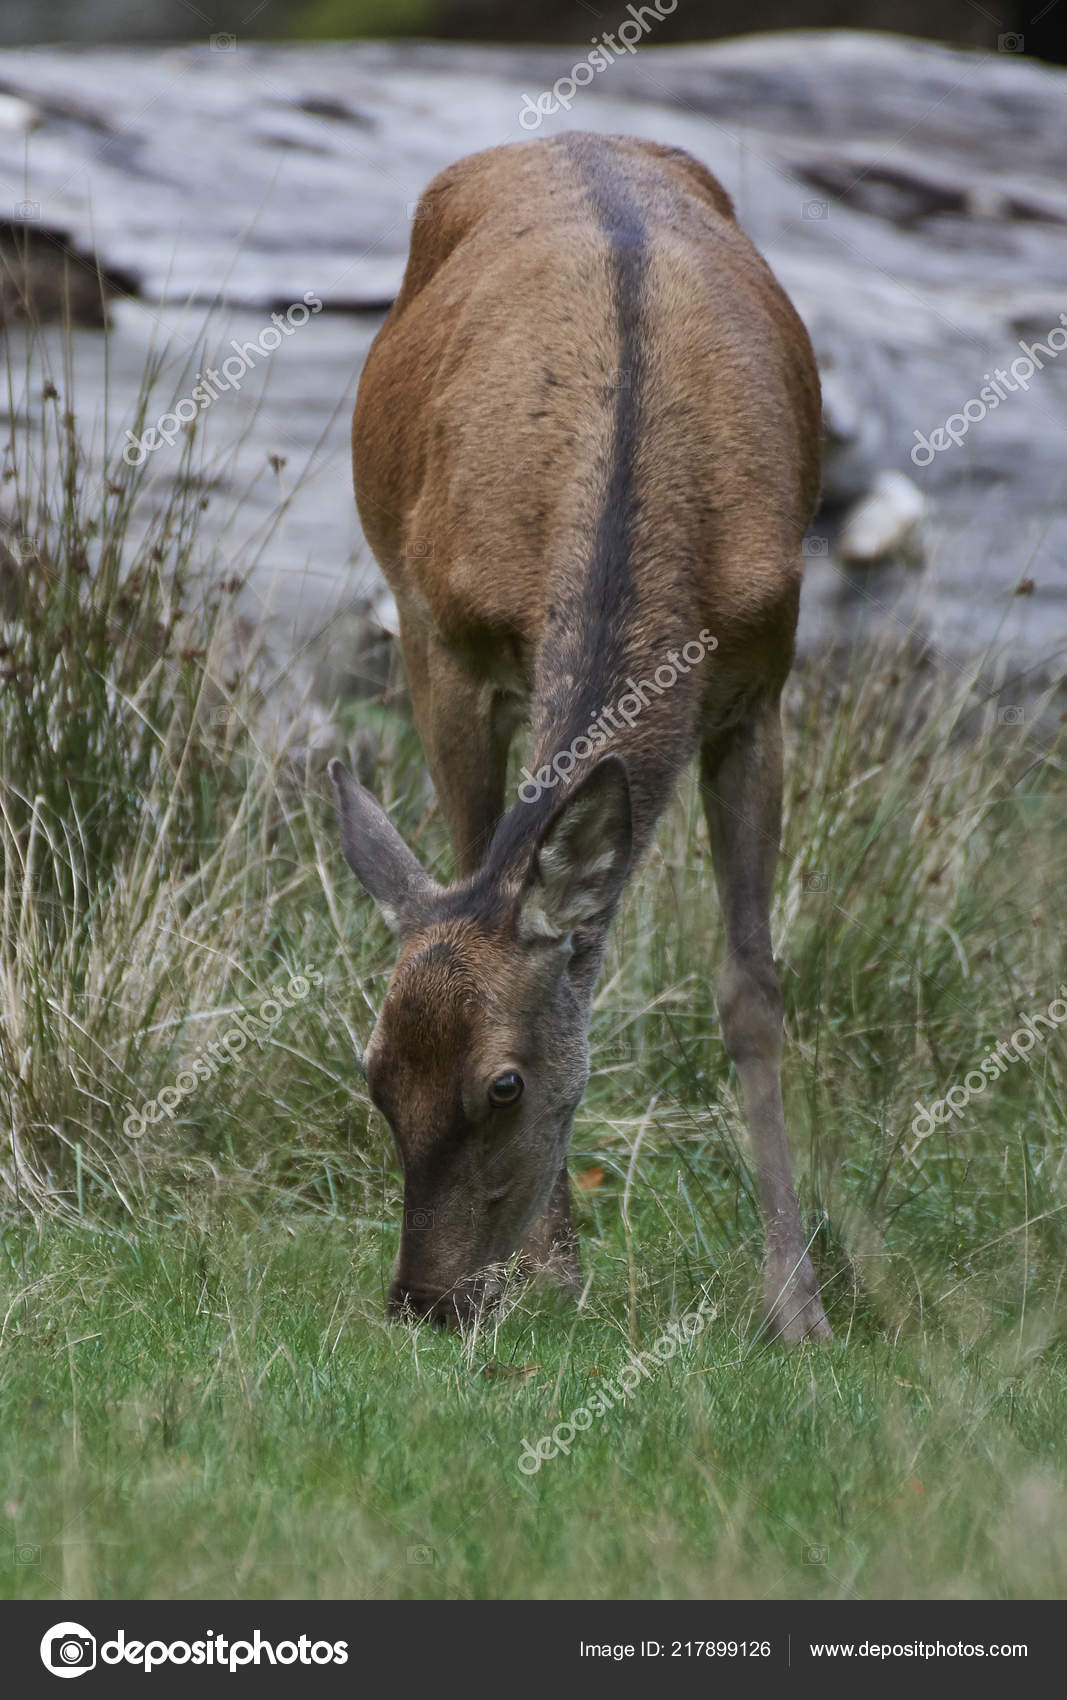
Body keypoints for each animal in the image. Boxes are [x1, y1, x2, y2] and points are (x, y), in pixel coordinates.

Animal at [328, 131, 831, 1343]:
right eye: (372, 1074)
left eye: (503, 1084)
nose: (424, 1298)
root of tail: (569, 135)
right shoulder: (443, 644)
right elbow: (481, 865)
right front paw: (556, 1272)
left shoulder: (760, 678)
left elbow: (751, 991)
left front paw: (797, 1306)